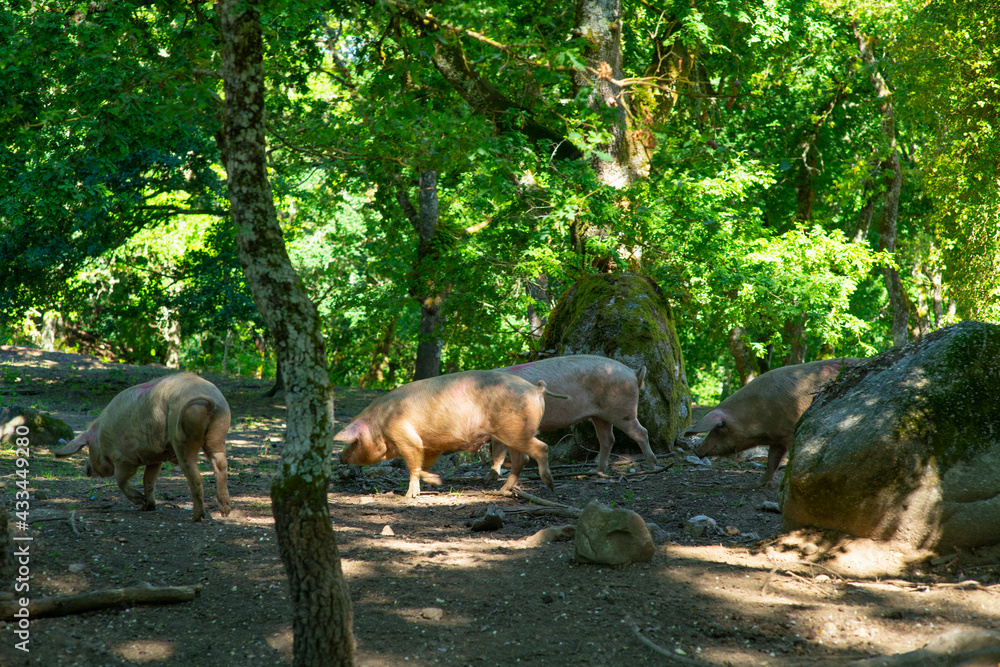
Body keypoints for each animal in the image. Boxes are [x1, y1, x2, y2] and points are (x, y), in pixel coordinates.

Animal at [52, 373, 231, 522]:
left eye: (89, 448)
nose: (86, 469)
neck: (102, 436)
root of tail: (208, 399)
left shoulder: (124, 458)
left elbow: (120, 479)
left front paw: (141, 501)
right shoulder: (156, 457)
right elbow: (149, 480)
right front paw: (148, 507)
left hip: (183, 439)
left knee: (196, 476)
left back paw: (196, 518)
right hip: (220, 428)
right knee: (221, 465)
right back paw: (225, 512)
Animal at [335, 370, 557, 497]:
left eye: (353, 442)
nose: (340, 457)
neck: (379, 423)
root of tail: (535, 389)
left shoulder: (407, 438)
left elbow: (413, 465)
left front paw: (410, 496)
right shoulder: (431, 446)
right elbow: (424, 465)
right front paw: (436, 480)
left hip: (516, 431)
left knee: (542, 448)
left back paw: (550, 485)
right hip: (510, 435)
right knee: (522, 460)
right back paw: (502, 491)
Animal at [487, 355, 656, 480]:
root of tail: (633, 372)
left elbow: (497, 451)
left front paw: (489, 478)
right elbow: (498, 451)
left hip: (622, 410)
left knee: (641, 432)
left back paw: (653, 467)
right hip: (599, 415)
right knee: (608, 439)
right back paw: (598, 472)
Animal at [685, 358, 859, 487]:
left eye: (718, 428)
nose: (696, 451)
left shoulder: (789, 432)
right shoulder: (777, 438)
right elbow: (771, 461)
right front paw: (757, 484)